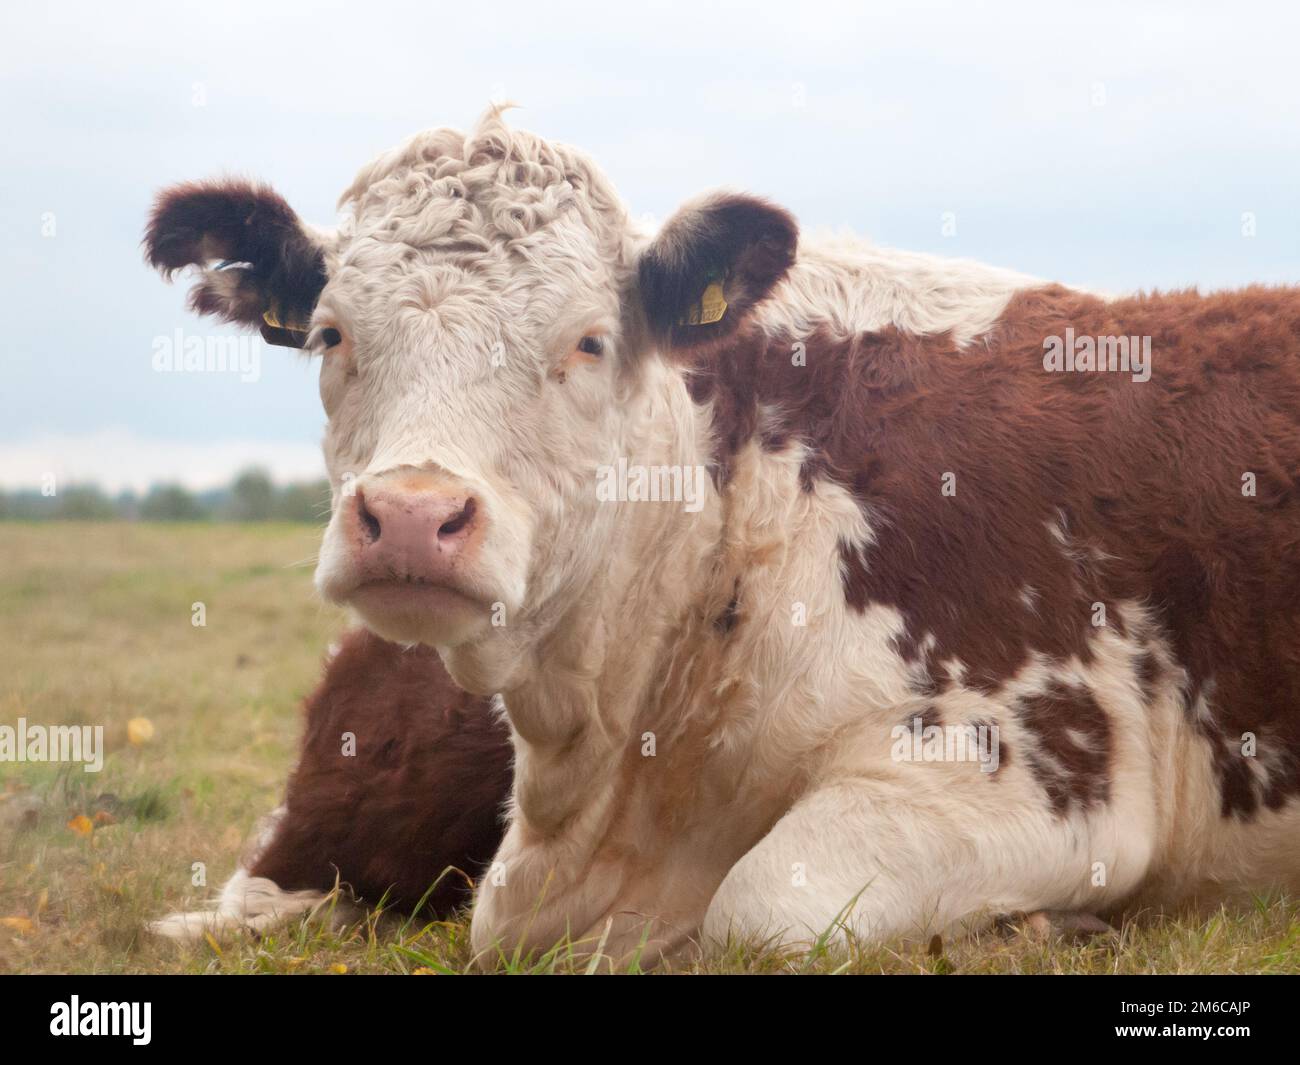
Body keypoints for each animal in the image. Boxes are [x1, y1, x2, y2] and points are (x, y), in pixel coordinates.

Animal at [145, 106, 1300, 966]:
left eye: (588, 341)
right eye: (332, 334)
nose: (413, 518)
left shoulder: (1036, 768)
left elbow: (767, 905)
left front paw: (1033, 927)